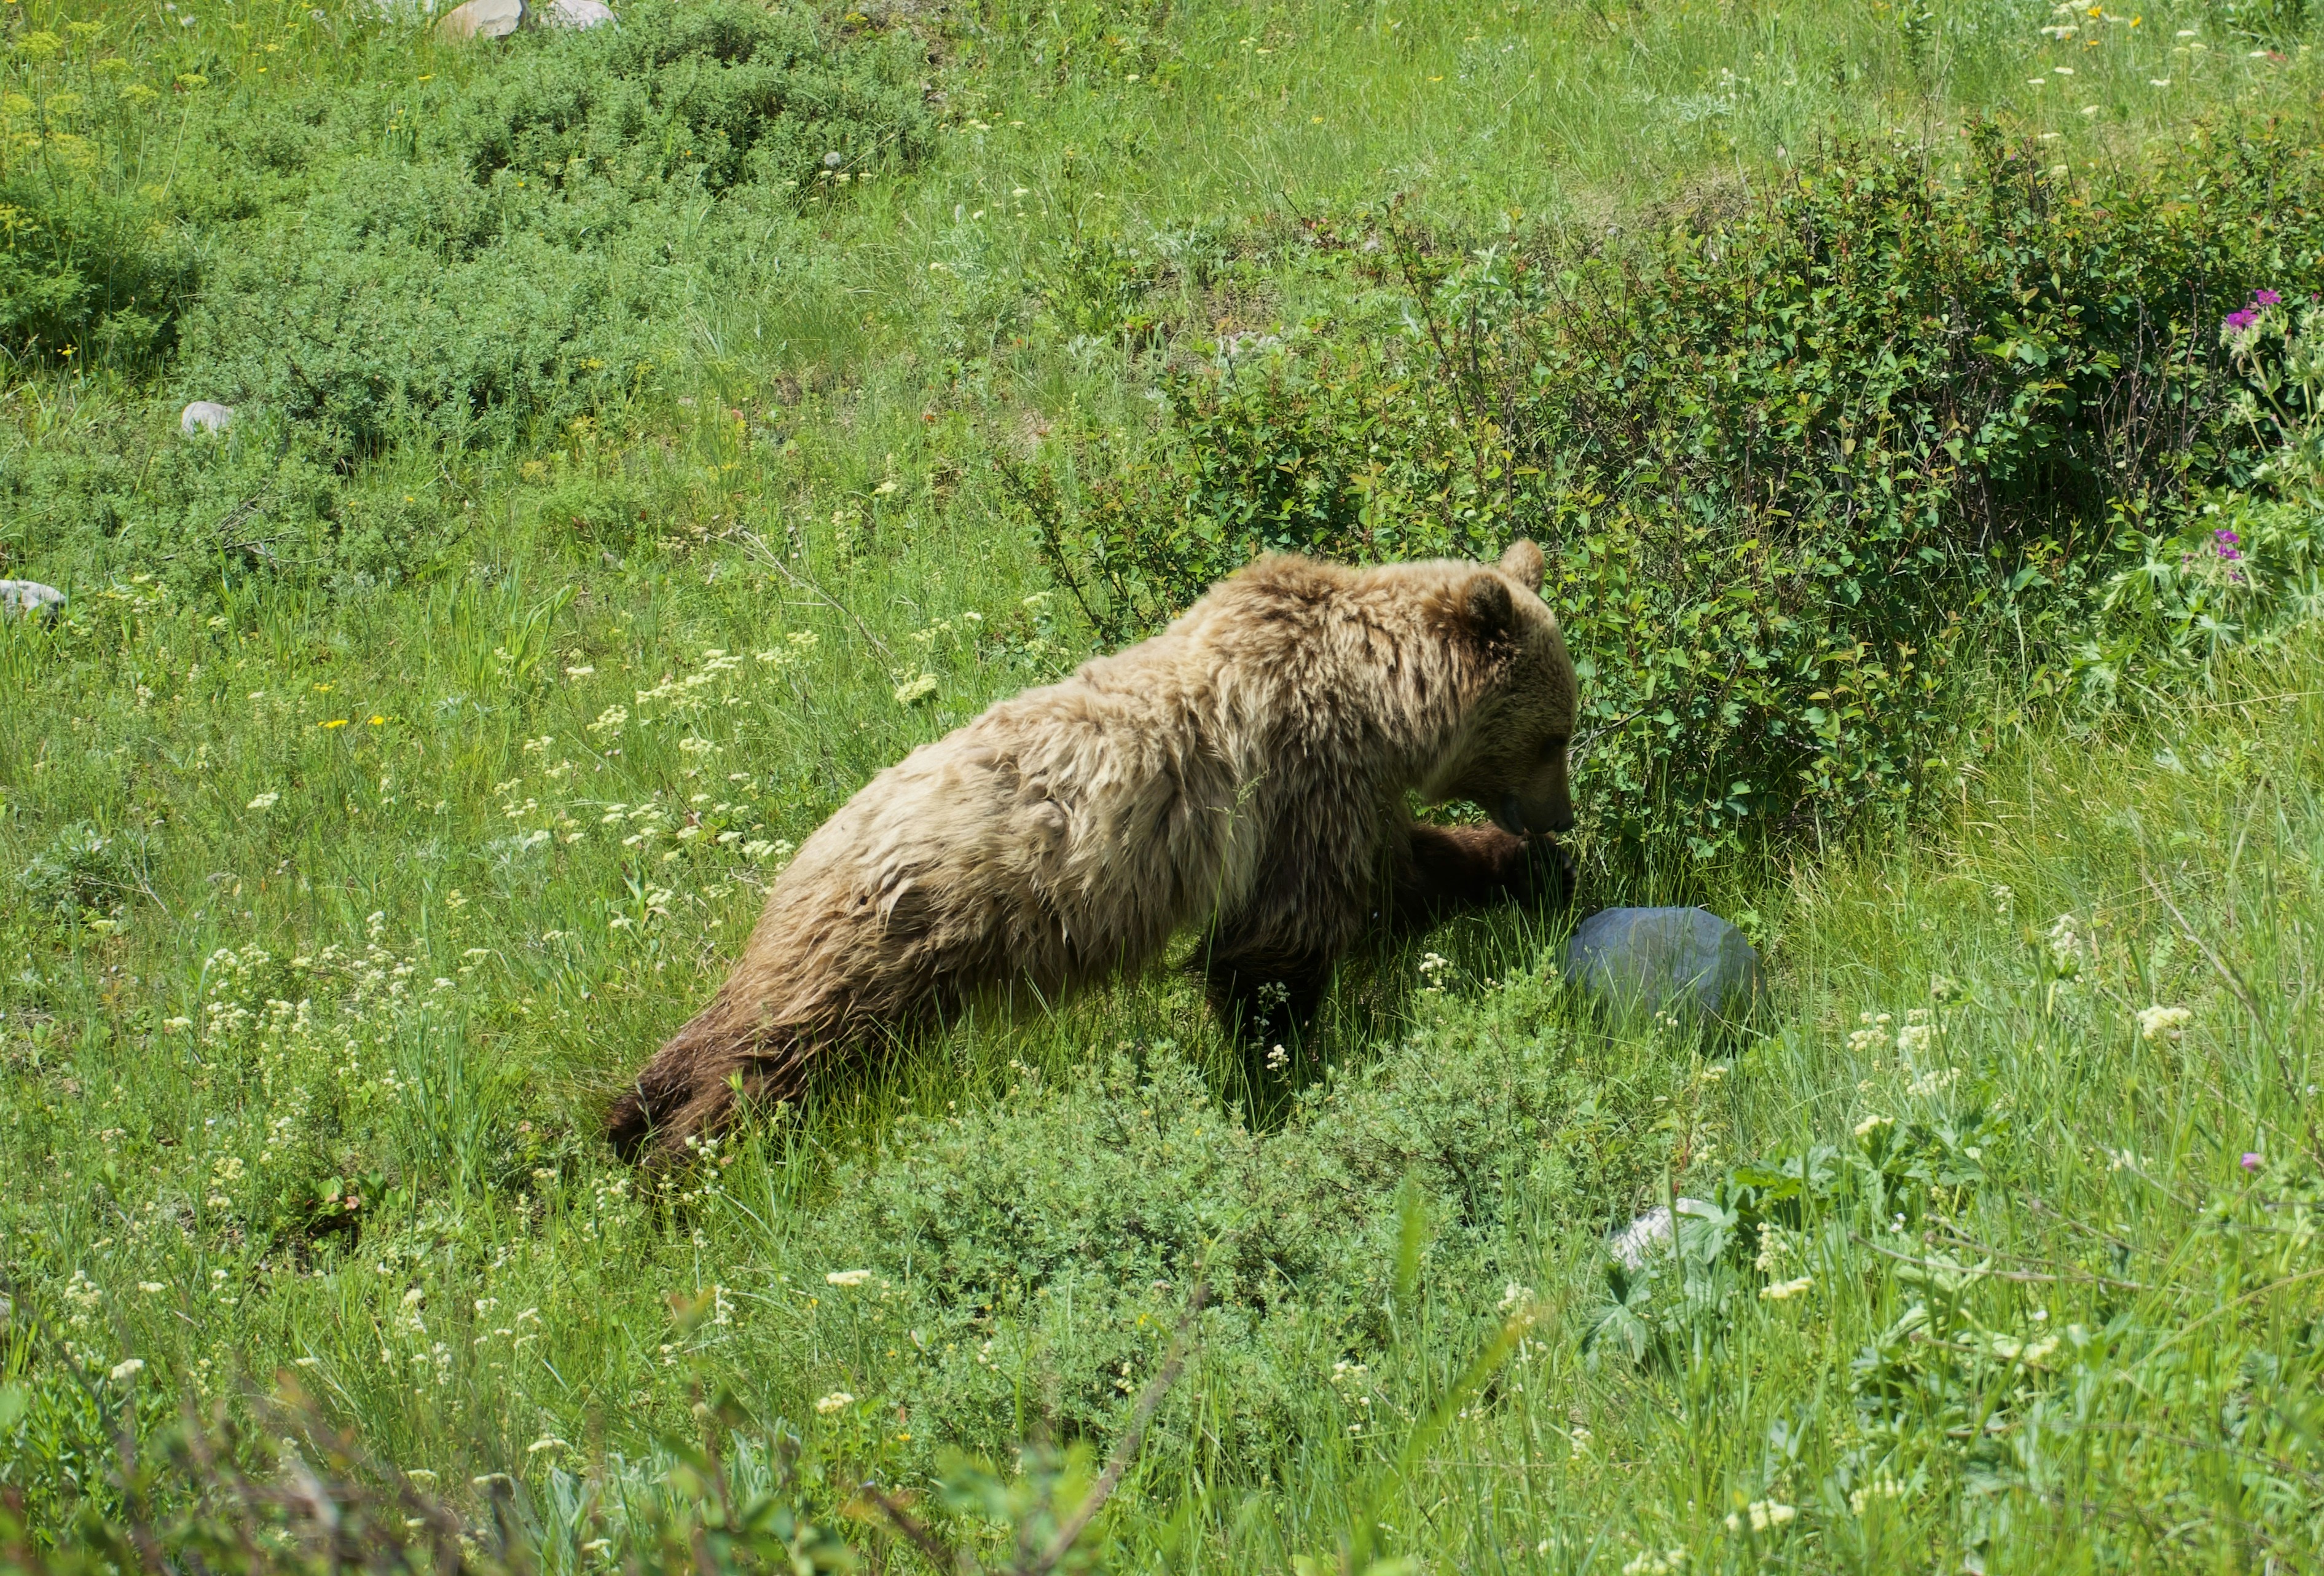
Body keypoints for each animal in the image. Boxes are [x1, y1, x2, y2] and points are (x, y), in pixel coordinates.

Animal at [607, 539, 1580, 1162]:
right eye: (1555, 735)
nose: (1561, 819)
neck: (1378, 701)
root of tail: (811, 841)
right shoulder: (1297, 779)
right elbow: (1278, 944)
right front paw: (1280, 1069)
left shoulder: (1335, 798)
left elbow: (1396, 876)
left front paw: (1528, 872)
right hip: (886, 941)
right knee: (777, 1052)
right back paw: (682, 1163)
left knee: (728, 1026)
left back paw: (626, 1122)